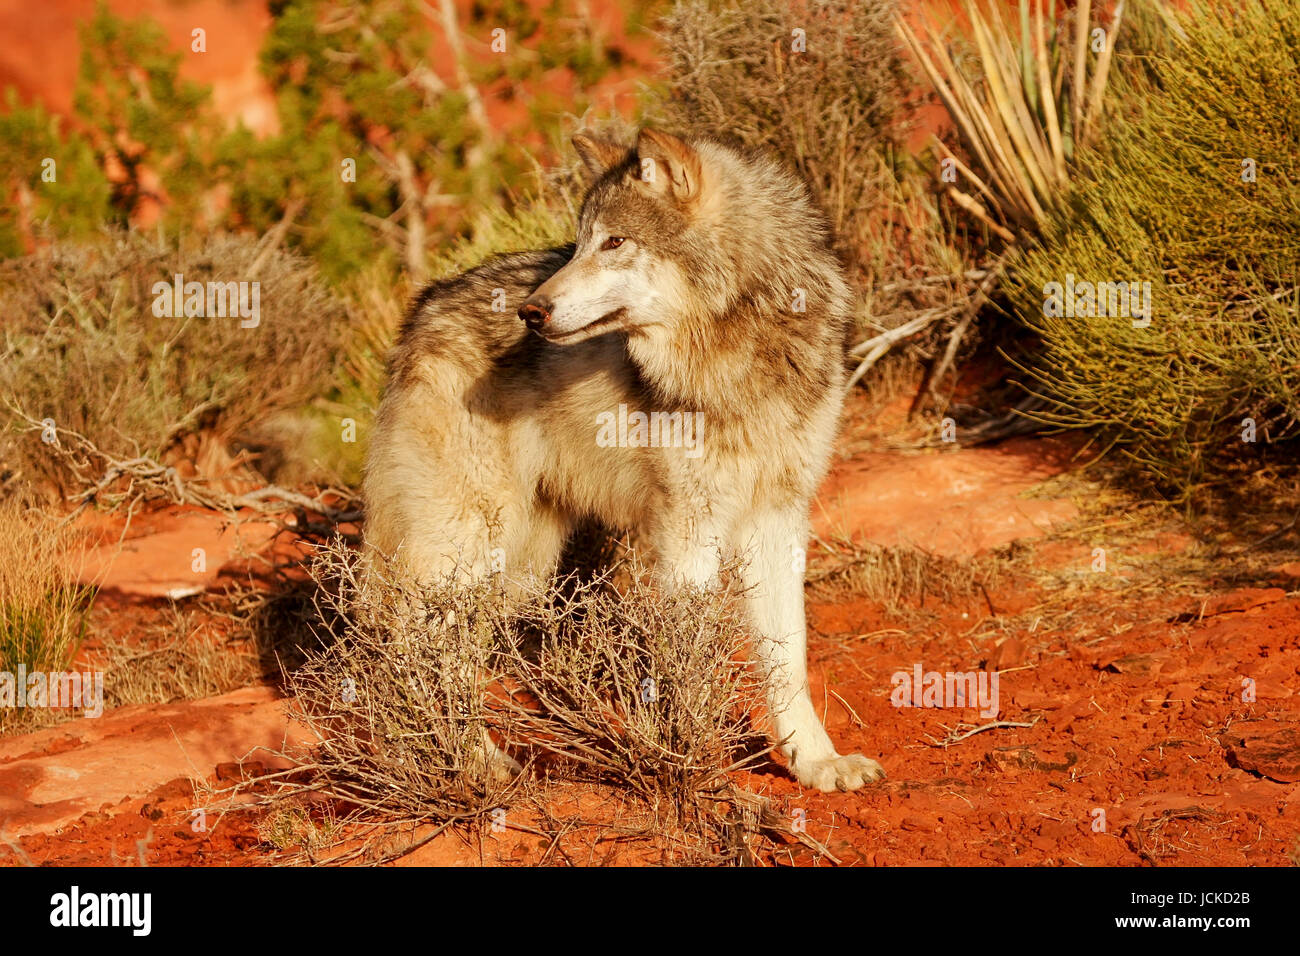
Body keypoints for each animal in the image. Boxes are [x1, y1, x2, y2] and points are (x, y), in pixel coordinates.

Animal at [362, 128, 884, 792]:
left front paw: (814, 761)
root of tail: (420, 310)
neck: (742, 348)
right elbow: (689, 656)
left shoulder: (777, 515)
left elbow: (787, 656)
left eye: (614, 242)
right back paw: (463, 762)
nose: (530, 313)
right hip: (466, 547)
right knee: (412, 647)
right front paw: (691, 760)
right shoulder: (687, 525)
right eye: (581, 241)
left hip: (520, 567)